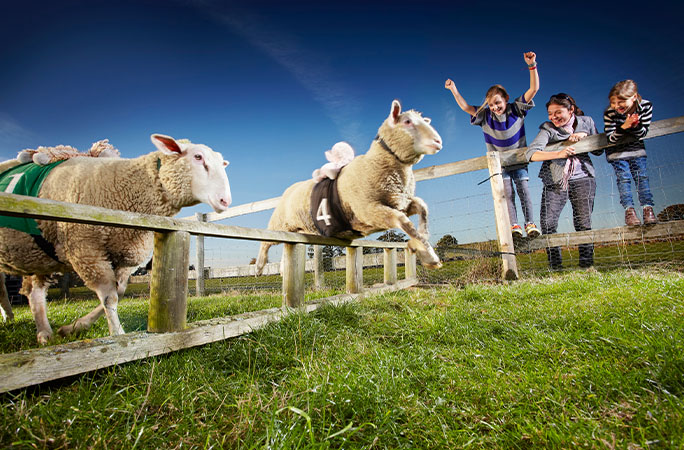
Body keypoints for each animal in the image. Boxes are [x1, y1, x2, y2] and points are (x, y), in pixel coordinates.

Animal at [0, 134, 232, 343]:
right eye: (198, 157)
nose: (225, 201)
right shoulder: (86, 250)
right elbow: (109, 296)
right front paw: (118, 335)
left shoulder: (125, 257)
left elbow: (118, 292)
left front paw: (74, 327)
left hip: (36, 255)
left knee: (34, 291)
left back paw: (42, 332)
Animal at [256, 100, 443, 276]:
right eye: (407, 121)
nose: (438, 142)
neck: (375, 164)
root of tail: (289, 189)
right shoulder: (369, 210)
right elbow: (404, 221)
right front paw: (429, 256)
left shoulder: (400, 203)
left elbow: (422, 208)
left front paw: (424, 246)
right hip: (279, 222)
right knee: (266, 241)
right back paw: (259, 266)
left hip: (299, 228)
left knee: (287, 242)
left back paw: (282, 268)